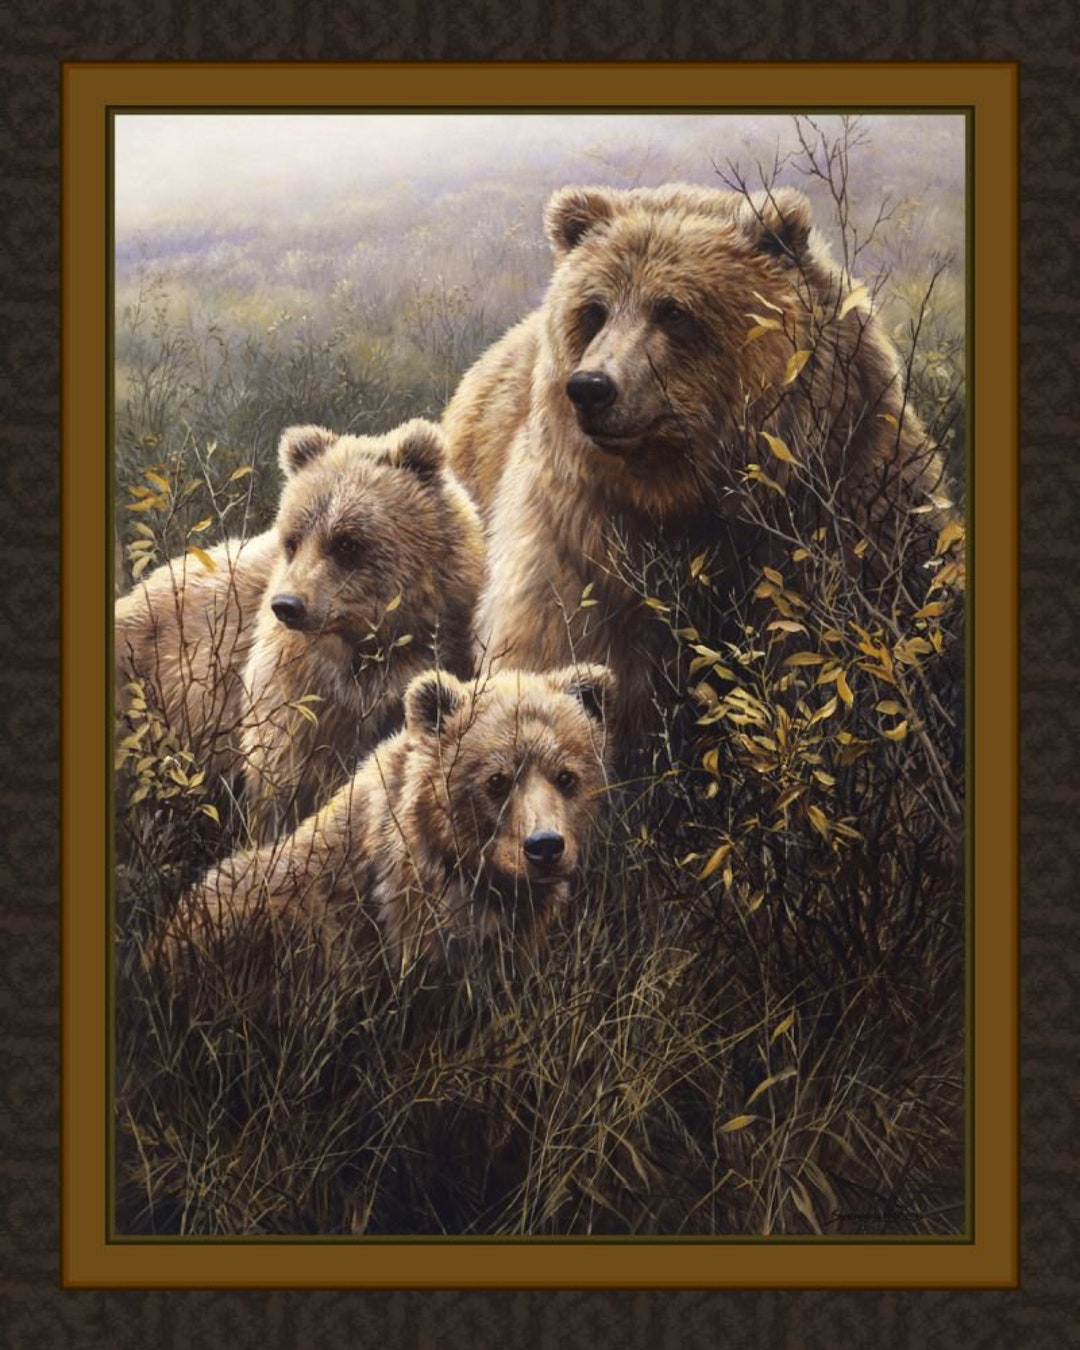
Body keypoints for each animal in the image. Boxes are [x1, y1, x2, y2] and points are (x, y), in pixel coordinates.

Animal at [442, 183, 958, 755]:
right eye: (594, 310)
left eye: (672, 310)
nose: (591, 387)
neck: (686, 492)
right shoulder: (585, 548)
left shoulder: (849, 502)